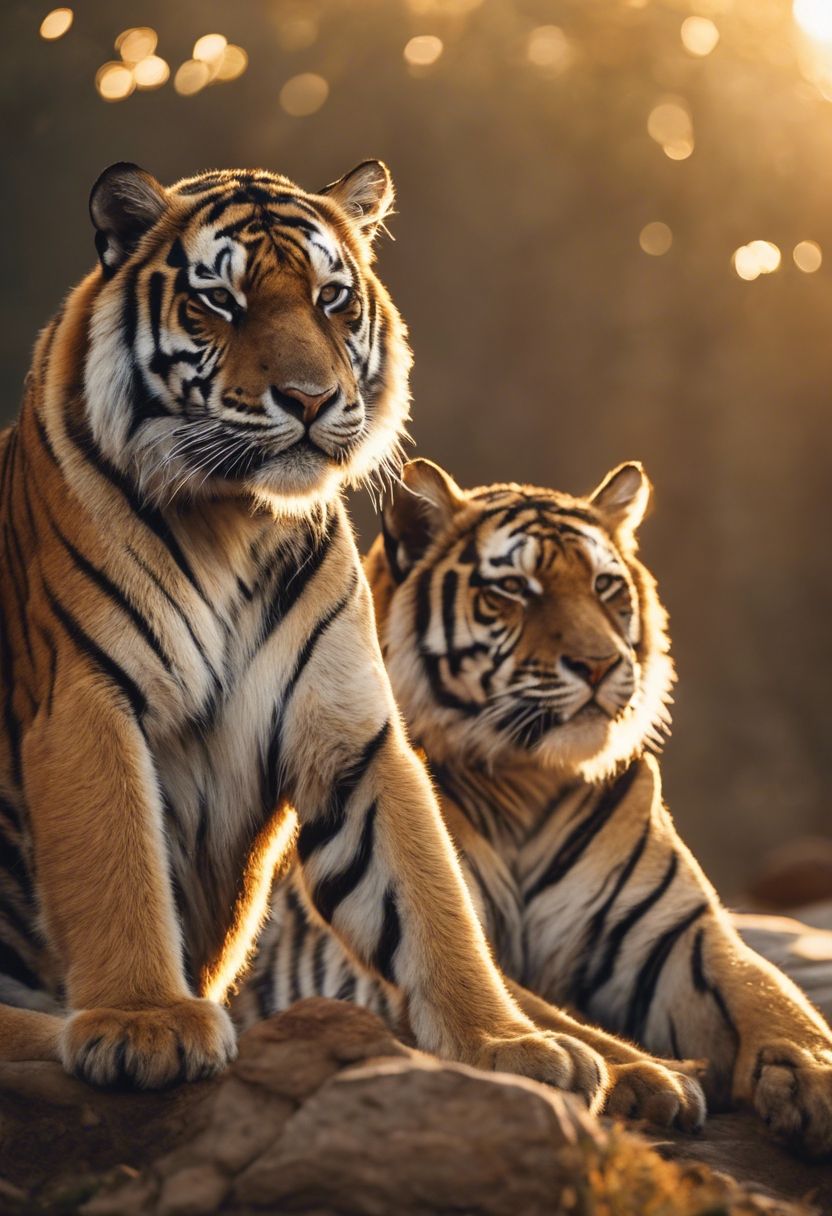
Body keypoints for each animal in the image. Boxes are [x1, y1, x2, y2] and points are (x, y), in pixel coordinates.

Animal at [0, 159, 632, 1101]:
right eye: (220, 302)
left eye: (332, 298)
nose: (309, 399)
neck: (232, 518)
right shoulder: (84, 696)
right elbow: (117, 865)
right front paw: (144, 1023)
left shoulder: (349, 734)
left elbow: (429, 897)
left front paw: (508, 1045)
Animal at [243, 457, 832, 1157]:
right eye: (514, 590)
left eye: (606, 586)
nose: (600, 664)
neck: (531, 782)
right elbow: (535, 1004)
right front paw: (643, 1073)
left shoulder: (680, 934)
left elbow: (770, 993)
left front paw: (816, 1076)